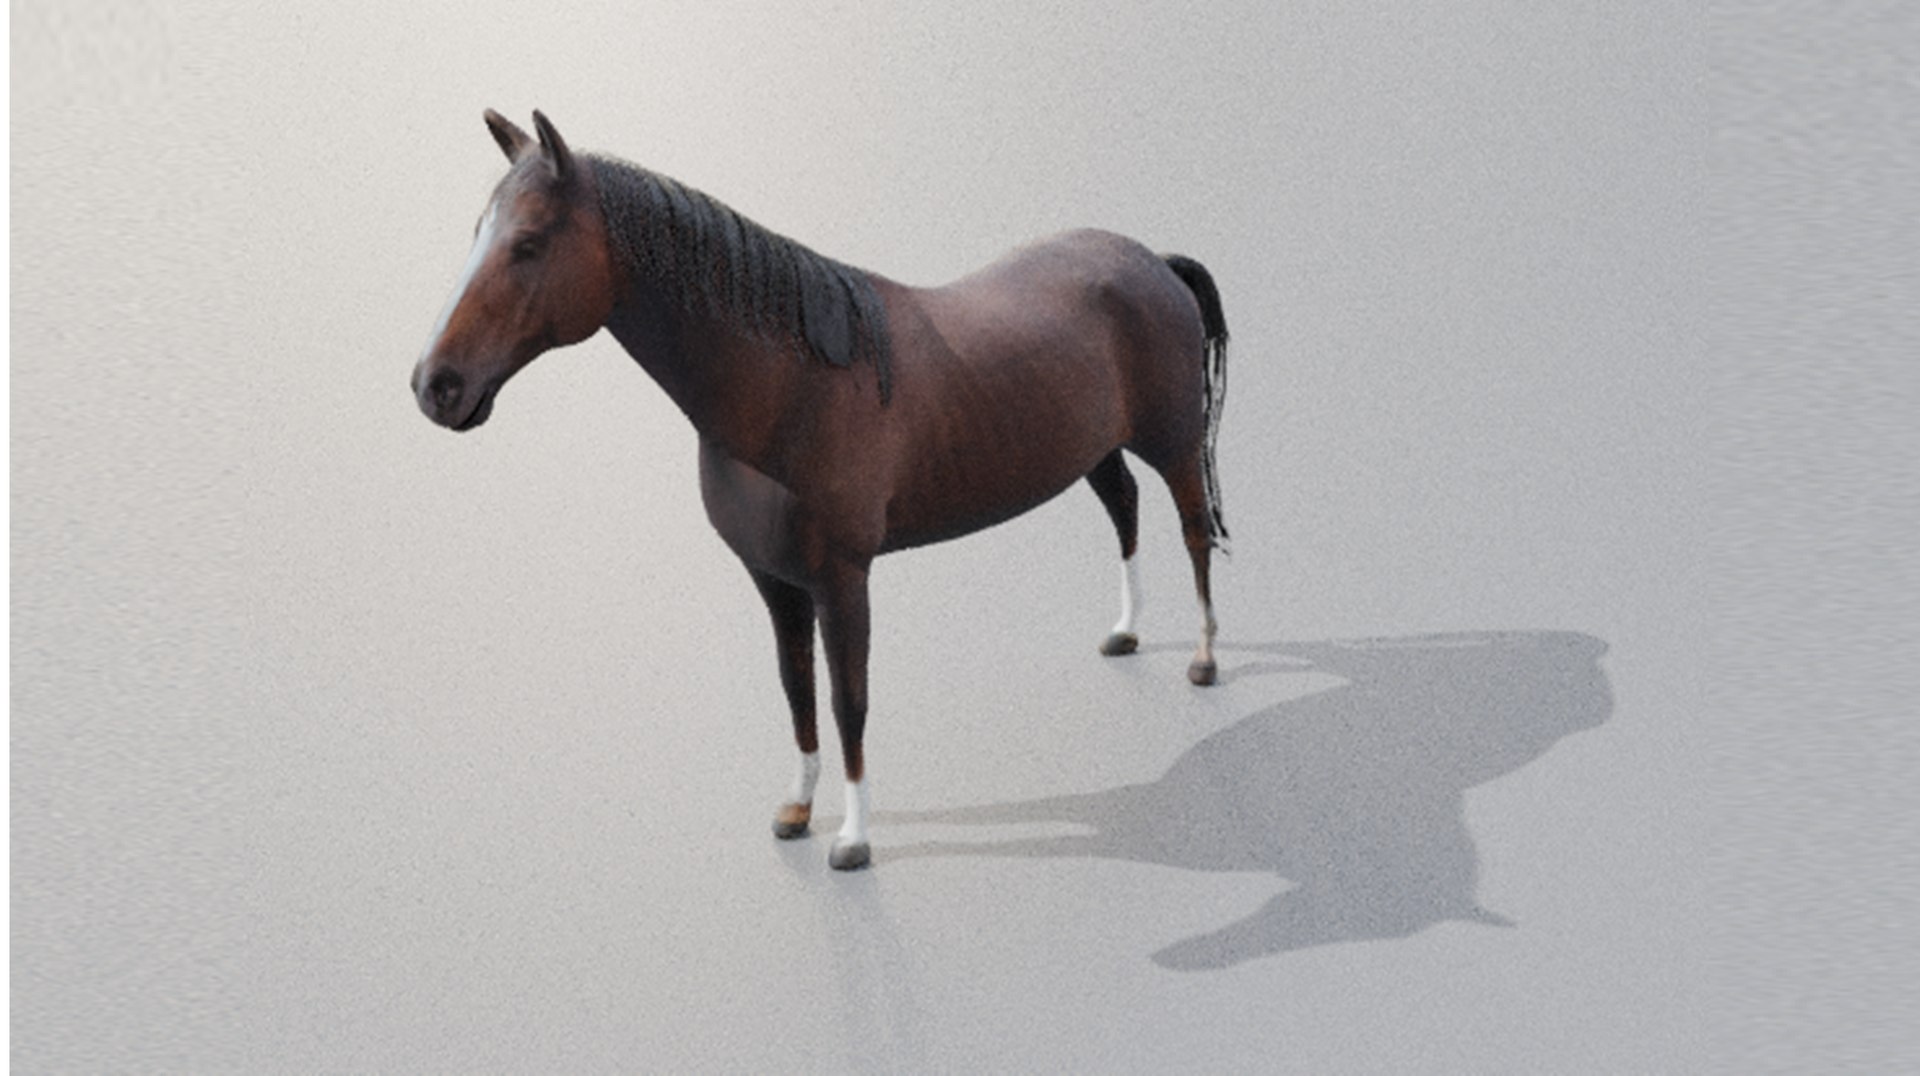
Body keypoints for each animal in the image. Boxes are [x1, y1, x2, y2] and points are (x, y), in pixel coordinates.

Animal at [411, 110, 1233, 871]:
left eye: (528, 244)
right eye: (477, 232)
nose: (434, 386)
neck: (794, 384)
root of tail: (1153, 260)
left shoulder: (843, 579)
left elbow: (848, 697)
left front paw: (853, 840)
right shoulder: (773, 580)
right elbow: (795, 685)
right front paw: (797, 812)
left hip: (1173, 444)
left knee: (1192, 530)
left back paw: (1203, 660)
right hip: (1094, 450)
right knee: (1123, 508)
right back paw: (1124, 633)